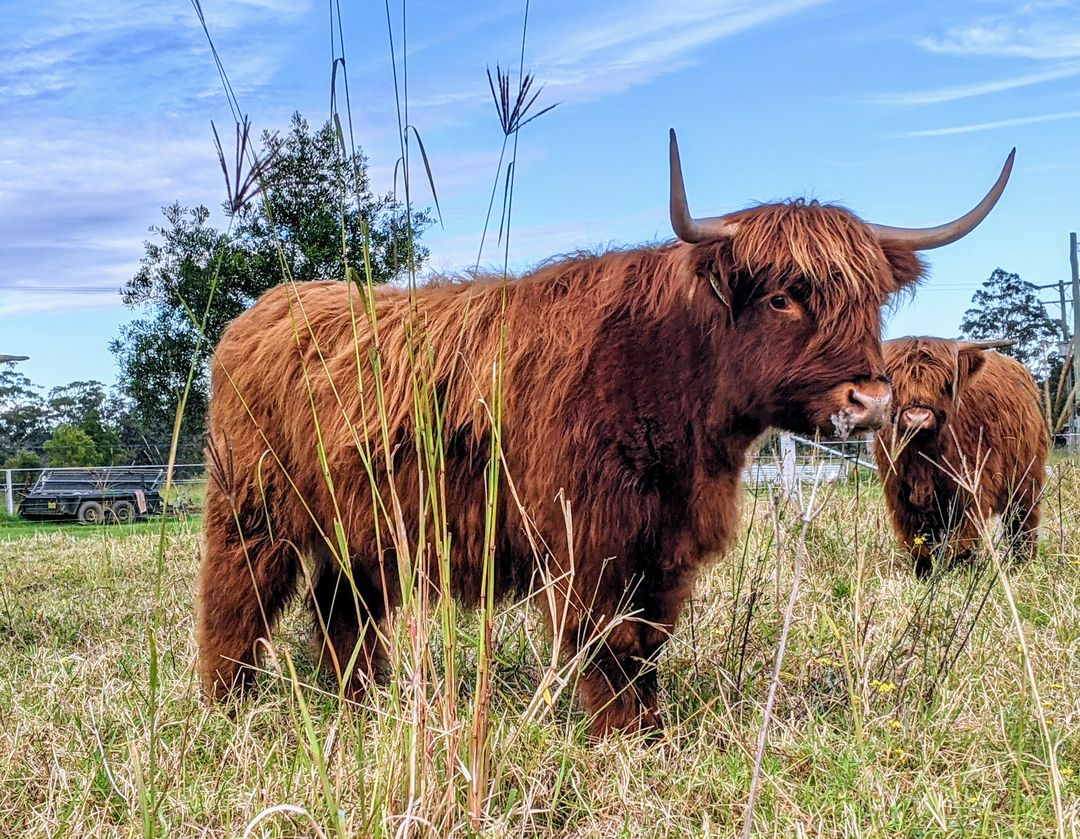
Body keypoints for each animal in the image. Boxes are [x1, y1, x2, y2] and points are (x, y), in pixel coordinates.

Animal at [196, 131, 1014, 736]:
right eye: (783, 297)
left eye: (871, 299)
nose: (871, 396)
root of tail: (262, 310)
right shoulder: (589, 532)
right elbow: (610, 637)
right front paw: (621, 734)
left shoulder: (665, 540)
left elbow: (648, 636)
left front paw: (649, 729)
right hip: (250, 507)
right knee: (237, 598)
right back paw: (226, 707)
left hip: (358, 524)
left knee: (344, 609)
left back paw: (360, 703)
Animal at [873, 337, 1046, 578]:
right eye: (893, 380)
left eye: (945, 382)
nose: (918, 418)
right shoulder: (900, 495)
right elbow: (917, 541)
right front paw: (924, 573)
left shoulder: (971, 487)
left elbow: (963, 538)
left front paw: (961, 569)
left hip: (1026, 478)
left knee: (1022, 521)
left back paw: (1022, 562)